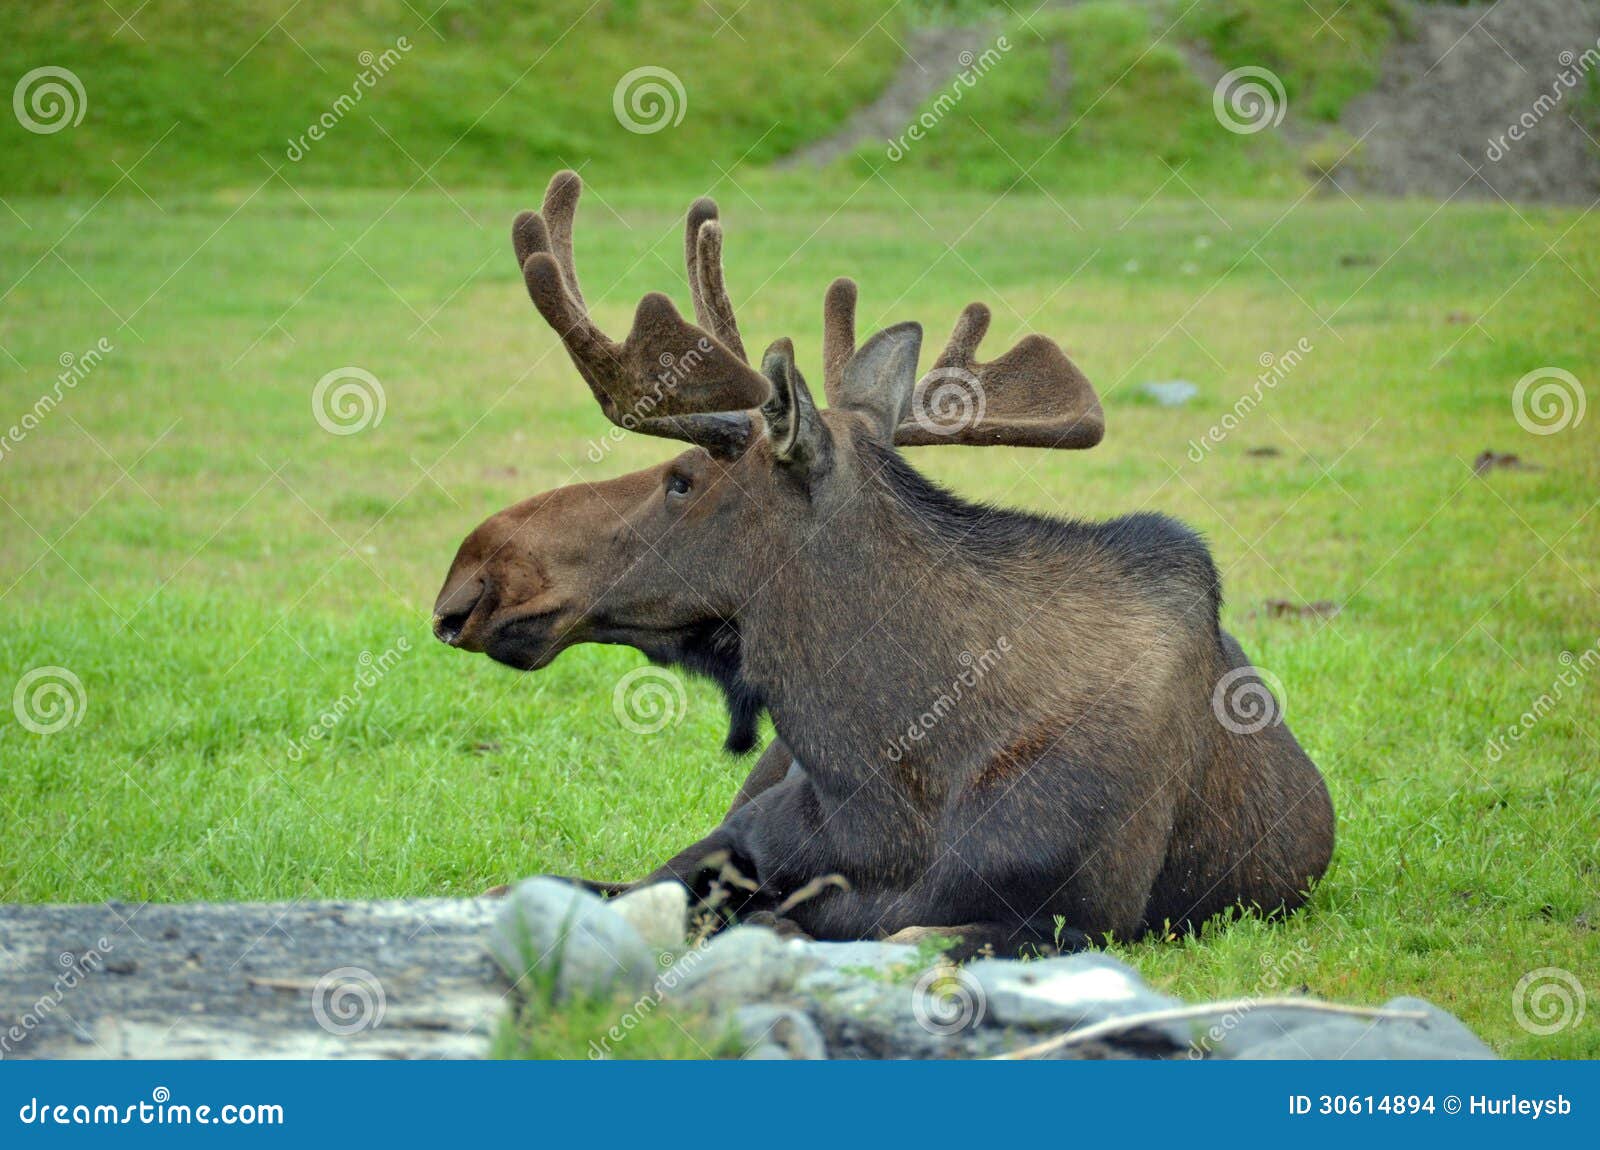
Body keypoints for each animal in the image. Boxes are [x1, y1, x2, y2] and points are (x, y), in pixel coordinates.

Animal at [432, 171, 1335, 958]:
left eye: (683, 479)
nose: (473, 574)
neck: (885, 778)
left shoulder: (1072, 918)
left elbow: (867, 933)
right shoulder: (732, 844)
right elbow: (556, 888)